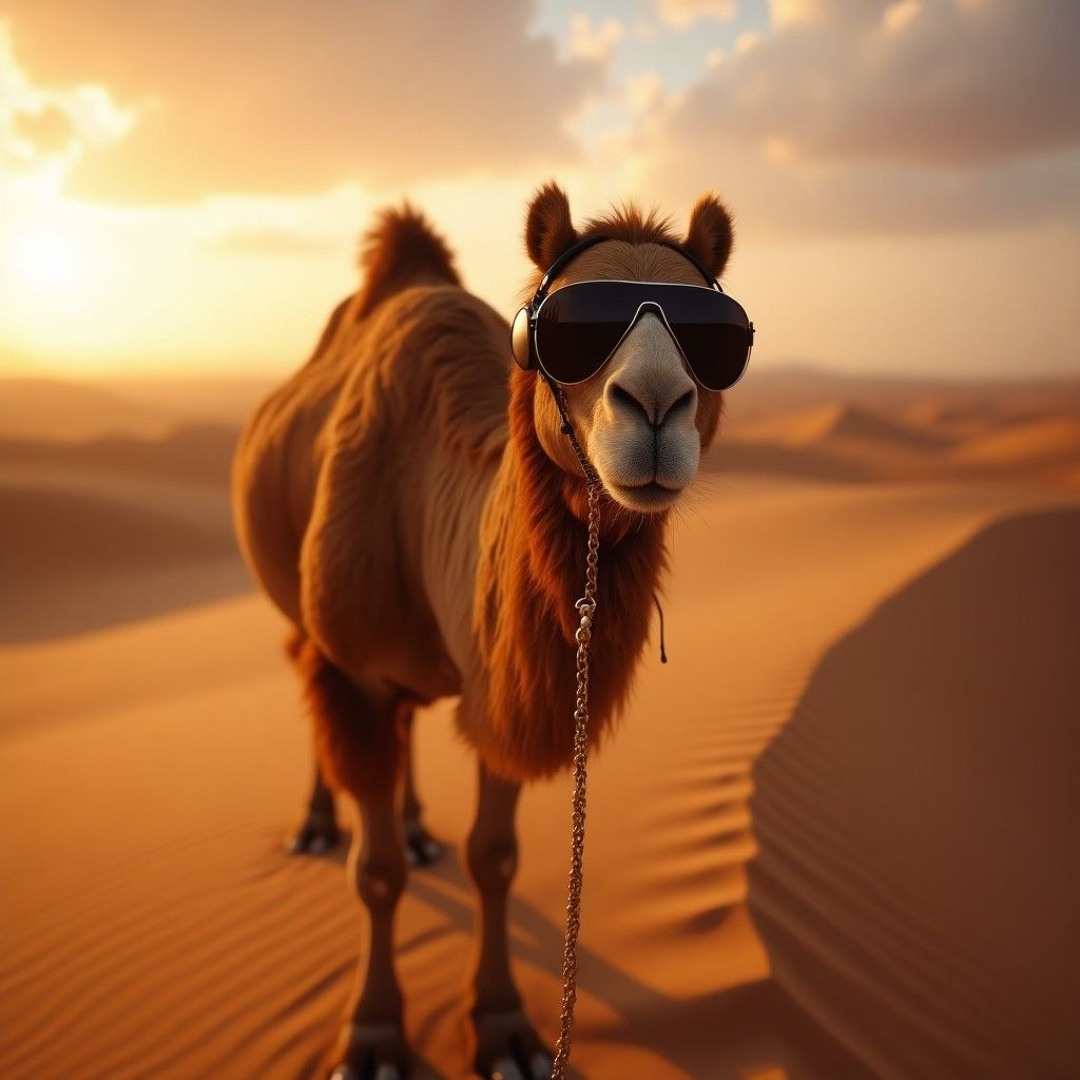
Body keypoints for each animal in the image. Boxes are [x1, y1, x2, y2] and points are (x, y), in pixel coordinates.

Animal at [232, 183, 751, 1079]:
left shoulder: (506, 685)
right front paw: (374, 1038)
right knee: (314, 687)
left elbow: (494, 856)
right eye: (567, 326)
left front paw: (505, 1028)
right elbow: (375, 874)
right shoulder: (356, 670)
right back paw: (318, 825)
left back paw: (414, 825)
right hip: (306, 619)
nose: (655, 405)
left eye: (715, 337)